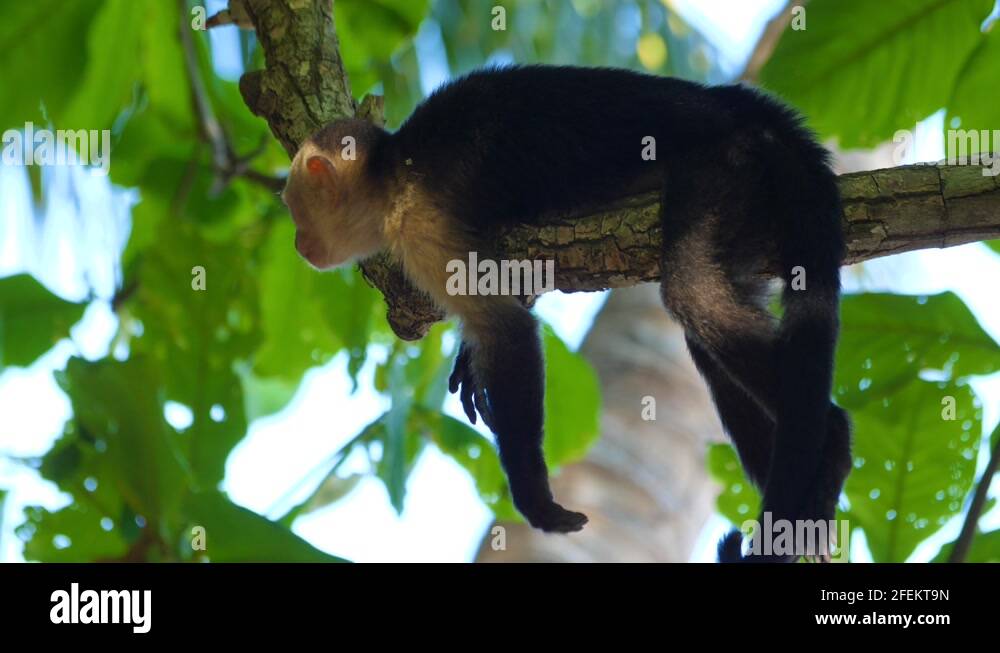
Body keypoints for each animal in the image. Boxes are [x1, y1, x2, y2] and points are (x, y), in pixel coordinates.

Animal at [281, 64, 853, 561]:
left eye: (291, 206)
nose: (297, 243)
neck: (395, 175)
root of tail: (726, 101)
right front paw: (470, 361)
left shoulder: (420, 223)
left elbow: (507, 330)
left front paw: (534, 499)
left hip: (724, 165)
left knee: (692, 294)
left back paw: (831, 439)